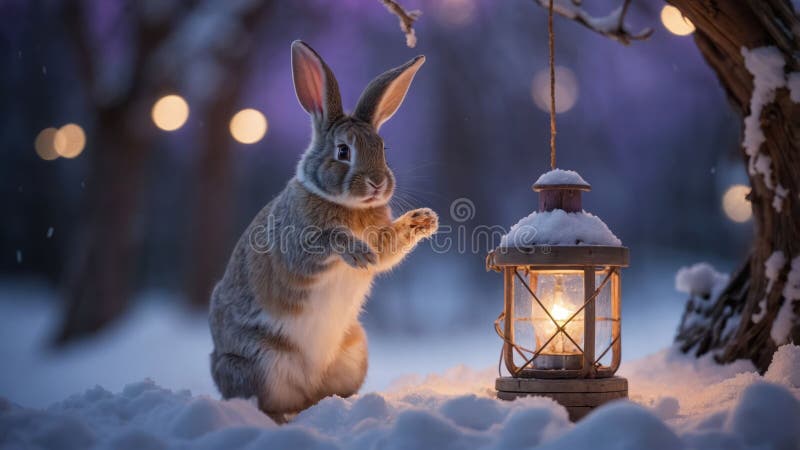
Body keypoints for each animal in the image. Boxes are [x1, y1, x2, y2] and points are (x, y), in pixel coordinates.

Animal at [208, 40, 438, 423]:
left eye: (383, 149)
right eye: (343, 151)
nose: (377, 183)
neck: (348, 206)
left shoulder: (380, 237)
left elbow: (387, 251)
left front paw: (424, 220)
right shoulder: (296, 247)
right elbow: (327, 241)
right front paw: (357, 252)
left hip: (354, 353)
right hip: (261, 364)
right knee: (266, 400)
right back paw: (280, 418)